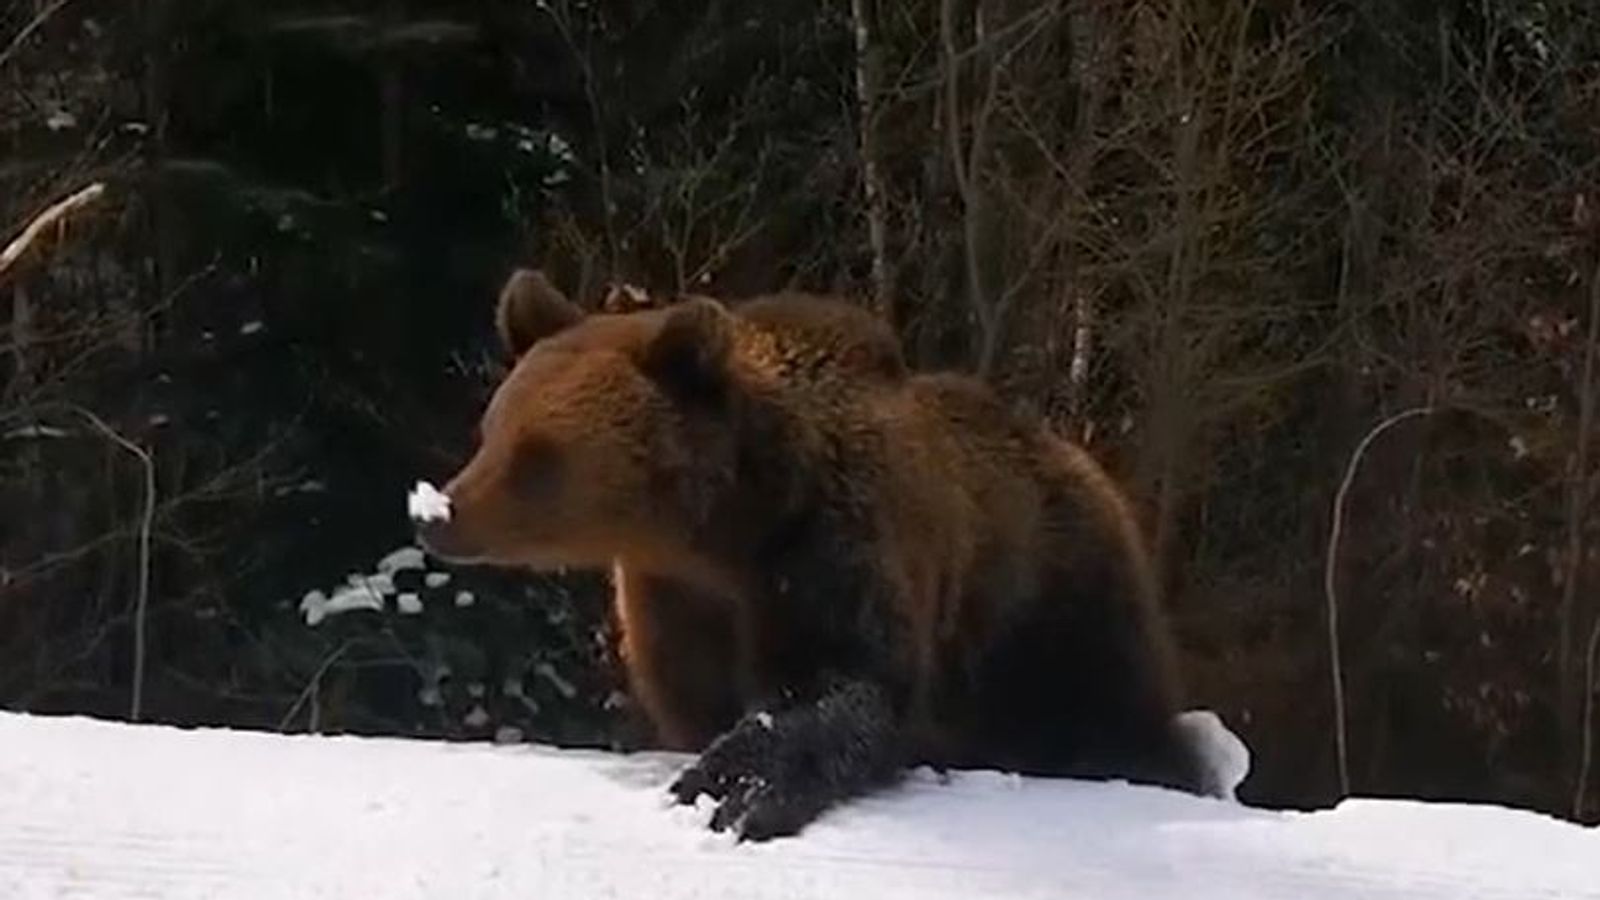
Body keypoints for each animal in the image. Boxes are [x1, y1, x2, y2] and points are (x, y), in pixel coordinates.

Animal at [415, 267, 1212, 841]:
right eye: (493, 428)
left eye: (540, 456)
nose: (439, 515)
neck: (718, 533)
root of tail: (1082, 462)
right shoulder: (674, 603)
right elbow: (701, 697)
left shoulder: (827, 548)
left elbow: (842, 683)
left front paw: (735, 785)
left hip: (1054, 605)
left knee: (1108, 710)